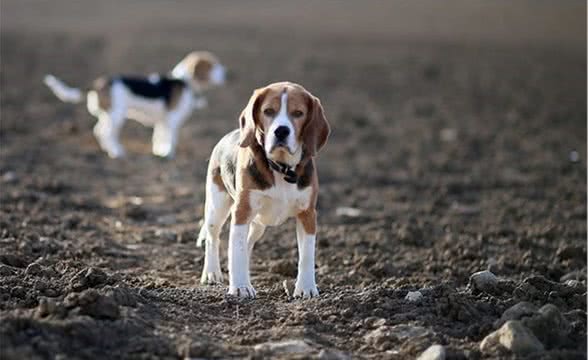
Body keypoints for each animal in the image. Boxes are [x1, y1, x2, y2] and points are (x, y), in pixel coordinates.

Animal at [43, 51, 226, 158]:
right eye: (212, 65)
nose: (228, 74)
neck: (184, 81)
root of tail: (99, 83)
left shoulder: (162, 121)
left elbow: (158, 137)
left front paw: (159, 151)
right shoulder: (172, 121)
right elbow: (171, 139)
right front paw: (168, 154)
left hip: (108, 115)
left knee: (98, 131)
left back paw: (108, 149)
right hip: (116, 116)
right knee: (106, 133)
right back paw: (116, 152)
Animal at [199, 81, 330, 298]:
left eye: (298, 113)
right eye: (268, 111)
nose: (281, 131)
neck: (281, 167)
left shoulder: (308, 214)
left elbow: (307, 255)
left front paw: (306, 288)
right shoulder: (242, 211)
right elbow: (236, 249)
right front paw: (240, 287)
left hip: (258, 225)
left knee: (247, 243)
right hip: (217, 207)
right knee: (213, 238)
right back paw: (212, 273)